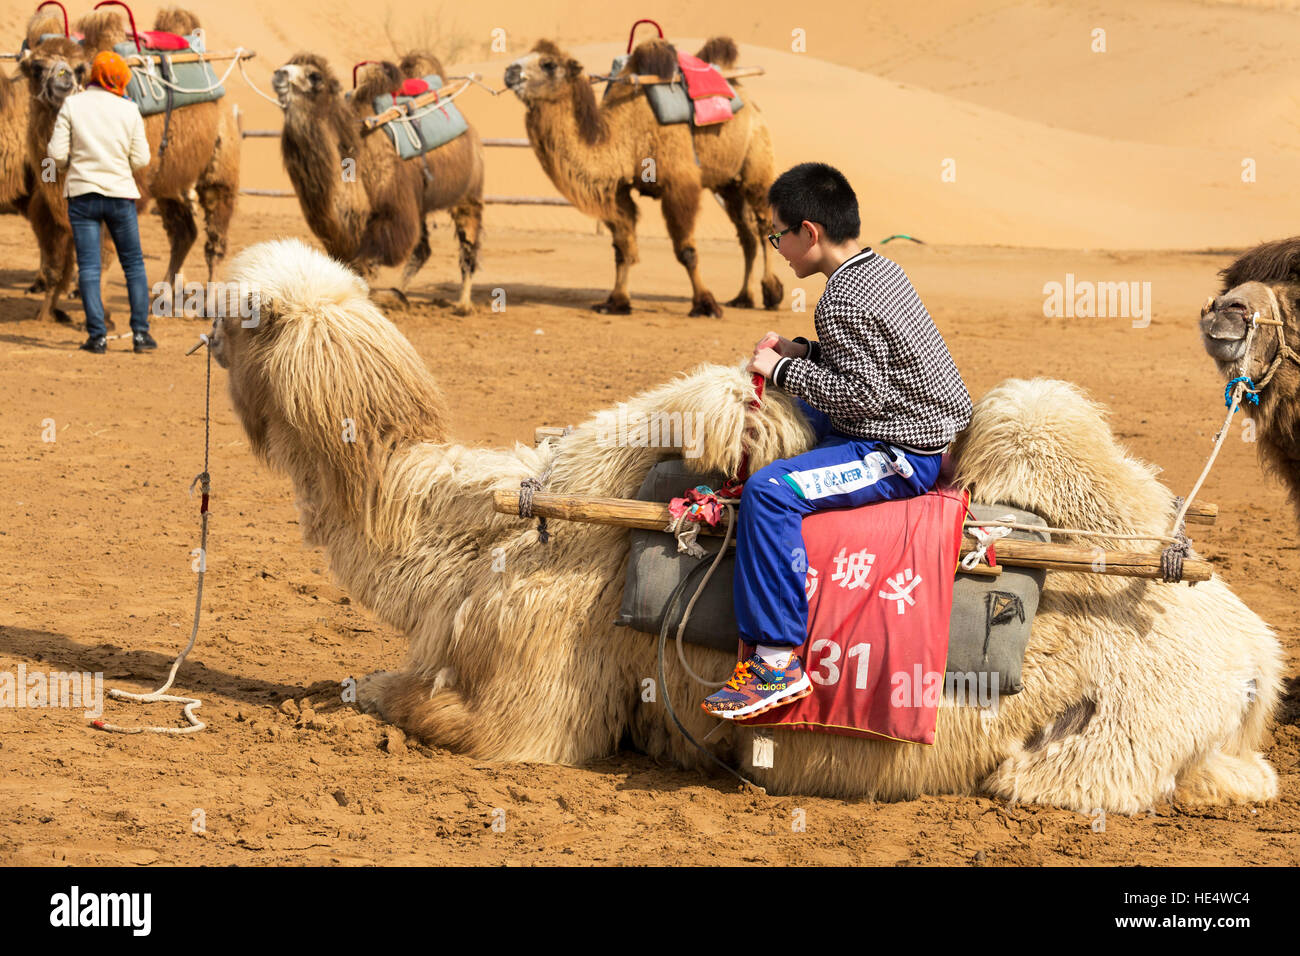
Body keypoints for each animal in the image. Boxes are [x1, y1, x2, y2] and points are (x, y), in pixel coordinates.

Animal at [18, 8, 240, 323]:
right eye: (37, 67)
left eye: (78, 68)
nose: (64, 83)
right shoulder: (55, 199)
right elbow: (57, 255)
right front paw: (46, 313)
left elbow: (103, 252)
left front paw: (100, 316)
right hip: (166, 181)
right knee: (184, 231)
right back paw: (162, 299)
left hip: (217, 163)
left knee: (215, 232)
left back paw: (209, 305)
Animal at [205, 237, 1283, 812]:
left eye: (245, 309)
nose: (193, 317)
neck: (499, 530)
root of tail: (1258, 659)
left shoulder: (530, 705)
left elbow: (401, 700)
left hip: (1098, 745)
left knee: (1050, 780)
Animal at [270, 52, 485, 314]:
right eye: (287, 66)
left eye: (314, 76)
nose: (279, 74)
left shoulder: (393, 211)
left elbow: (368, 260)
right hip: (422, 204)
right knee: (422, 250)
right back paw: (398, 294)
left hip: (468, 191)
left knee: (468, 245)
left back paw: (463, 304)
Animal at [504, 37, 783, 318]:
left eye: (548, 64)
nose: (509, 72)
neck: (626, 134)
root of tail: (749, 102)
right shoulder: (619, 190)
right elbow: (622, 248)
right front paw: (616, 302)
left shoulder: (679, 186)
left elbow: (686, 251)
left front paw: (705, 304)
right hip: (728, 185)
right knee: (747, 236)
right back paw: (743, 297)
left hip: (756, 165)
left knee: (763, 226)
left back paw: (771, 294)